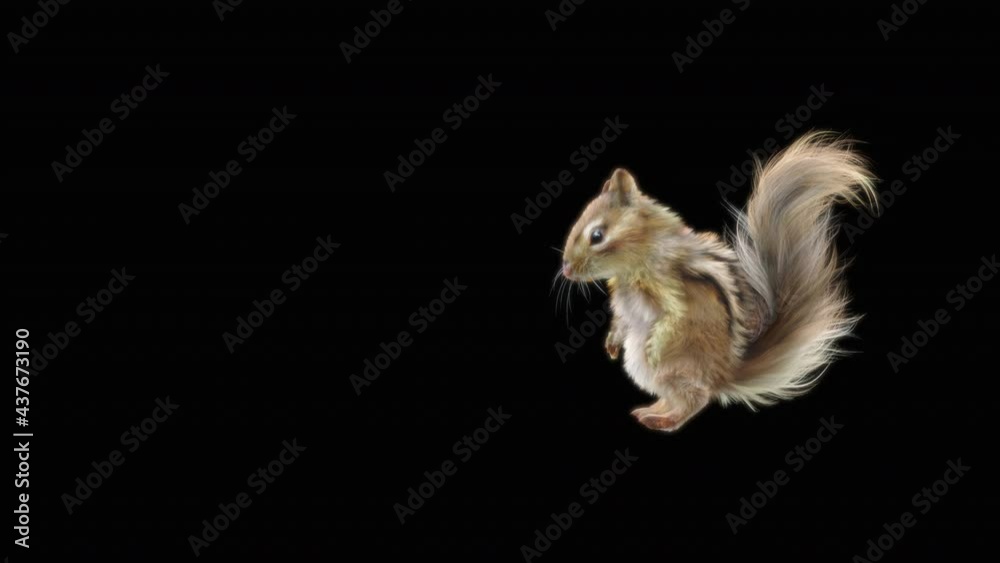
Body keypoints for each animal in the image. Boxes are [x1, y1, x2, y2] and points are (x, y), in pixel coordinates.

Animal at [560, 132, 877, 432]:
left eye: (597, 235)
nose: (566, 270)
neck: (636, 262)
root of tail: (724, 375)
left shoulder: (669, 286)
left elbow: (674, 317)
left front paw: (655, 347)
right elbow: (622, 320)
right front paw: (612, 344)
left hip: (674, 370)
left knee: (696, 399)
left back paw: (663, 418)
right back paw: (653, 409)